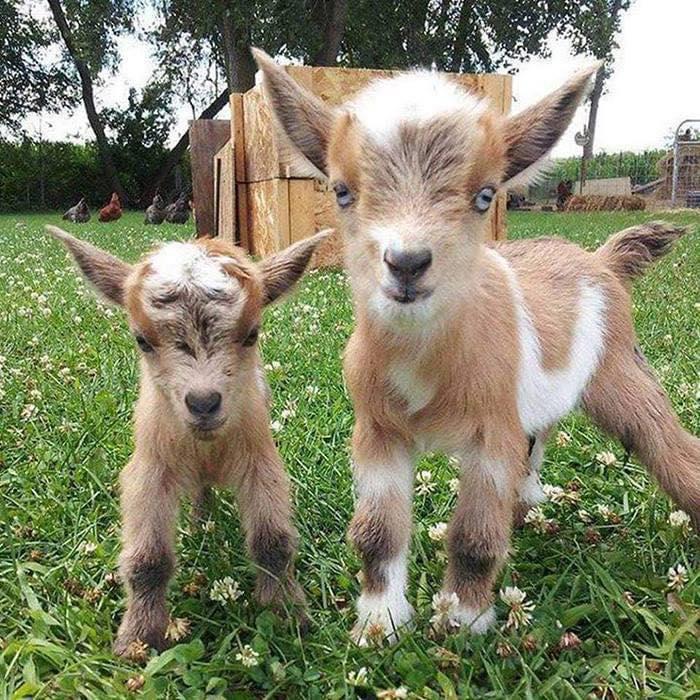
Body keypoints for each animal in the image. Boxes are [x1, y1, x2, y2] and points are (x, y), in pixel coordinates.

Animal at [47, 224, 330, 655]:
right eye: (142, 340)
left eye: (252, 334)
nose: (203, 403)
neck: (206, 445)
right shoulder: (150, 470)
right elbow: (148, 559)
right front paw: (139, 638)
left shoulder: (261, 462)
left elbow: (273, 541)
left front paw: (285, 612)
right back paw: (200, 525)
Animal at [253, 49, 700, 645]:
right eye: (342, 191)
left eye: (485, 195)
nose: (407, 263)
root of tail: (601, 260)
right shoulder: (378, 430)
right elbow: (377, 531)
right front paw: (379, 622)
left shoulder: (490, 433)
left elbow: (474, 535)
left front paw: (464, 620)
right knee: (539, 442)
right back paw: (527, 503)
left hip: (620, 374)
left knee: (666, 444)